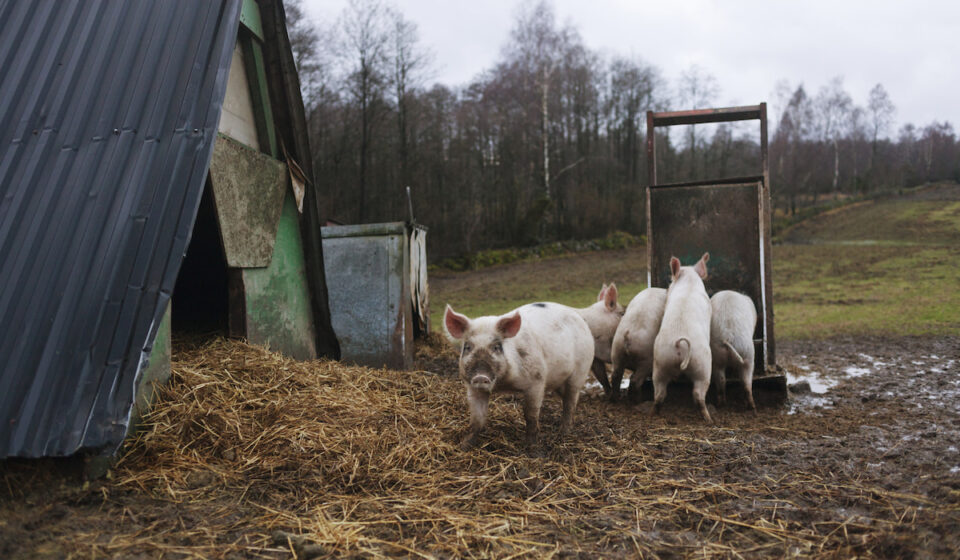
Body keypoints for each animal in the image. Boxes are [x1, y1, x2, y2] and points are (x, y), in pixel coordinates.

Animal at [444, 302, 594, 451]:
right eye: (468, 347)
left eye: (496, 347)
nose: (480, 376)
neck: (504, 383)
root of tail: (579, 318)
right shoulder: (473, 389)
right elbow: (476, 419)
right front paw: (463, 447)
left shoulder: (537, 380)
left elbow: (531, 416)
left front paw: (533, 449)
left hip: (580, 372)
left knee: (570, 403)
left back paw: (564, 434)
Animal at [651, 253, 713, 423]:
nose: (667, 289)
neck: (689, 284)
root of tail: (680, 344)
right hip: (703, 365)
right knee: (698, 394)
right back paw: (709, 420)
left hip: (660, 363)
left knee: (659, 394)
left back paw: (654, 414)